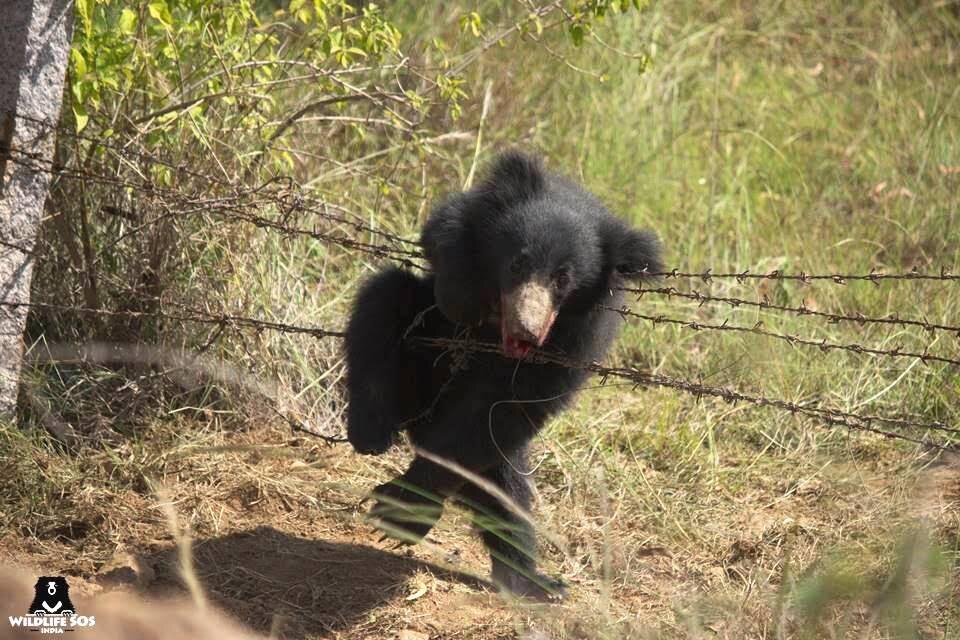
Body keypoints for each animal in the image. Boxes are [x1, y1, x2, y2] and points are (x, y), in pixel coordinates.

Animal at [344, 151, 662, 600]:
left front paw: (400, 509)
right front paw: (462, 299)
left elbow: (508, 405)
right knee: (385, 297)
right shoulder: (472, 220)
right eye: (517, 263)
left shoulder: (578, 339)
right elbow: (444, 225)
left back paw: (531, 582)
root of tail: (421, 421)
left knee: (504, 486)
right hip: (412, 364)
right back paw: (371, 429)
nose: (527, 331)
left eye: (563, 280)